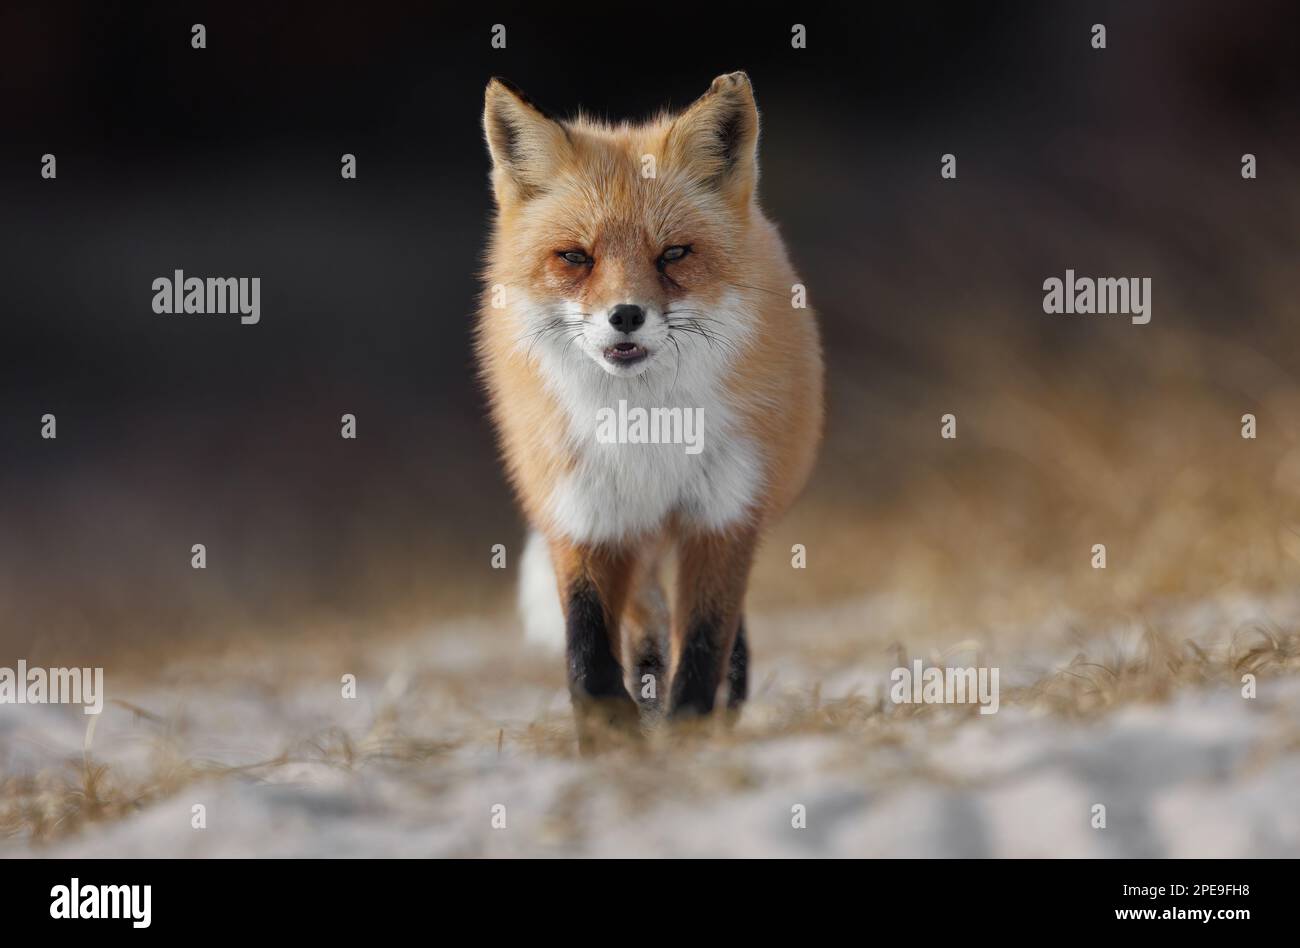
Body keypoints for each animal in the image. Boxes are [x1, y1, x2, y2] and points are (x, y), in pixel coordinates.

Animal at [475, 71, 823, 744]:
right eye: (576, 257)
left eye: (673, 255)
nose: (626, 315)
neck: (644, 433)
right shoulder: (582, 515)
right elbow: (588, 651)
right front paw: (610, 739)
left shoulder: (723, 514)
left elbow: (707, 644)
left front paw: (689, 732)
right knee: (645, 618)